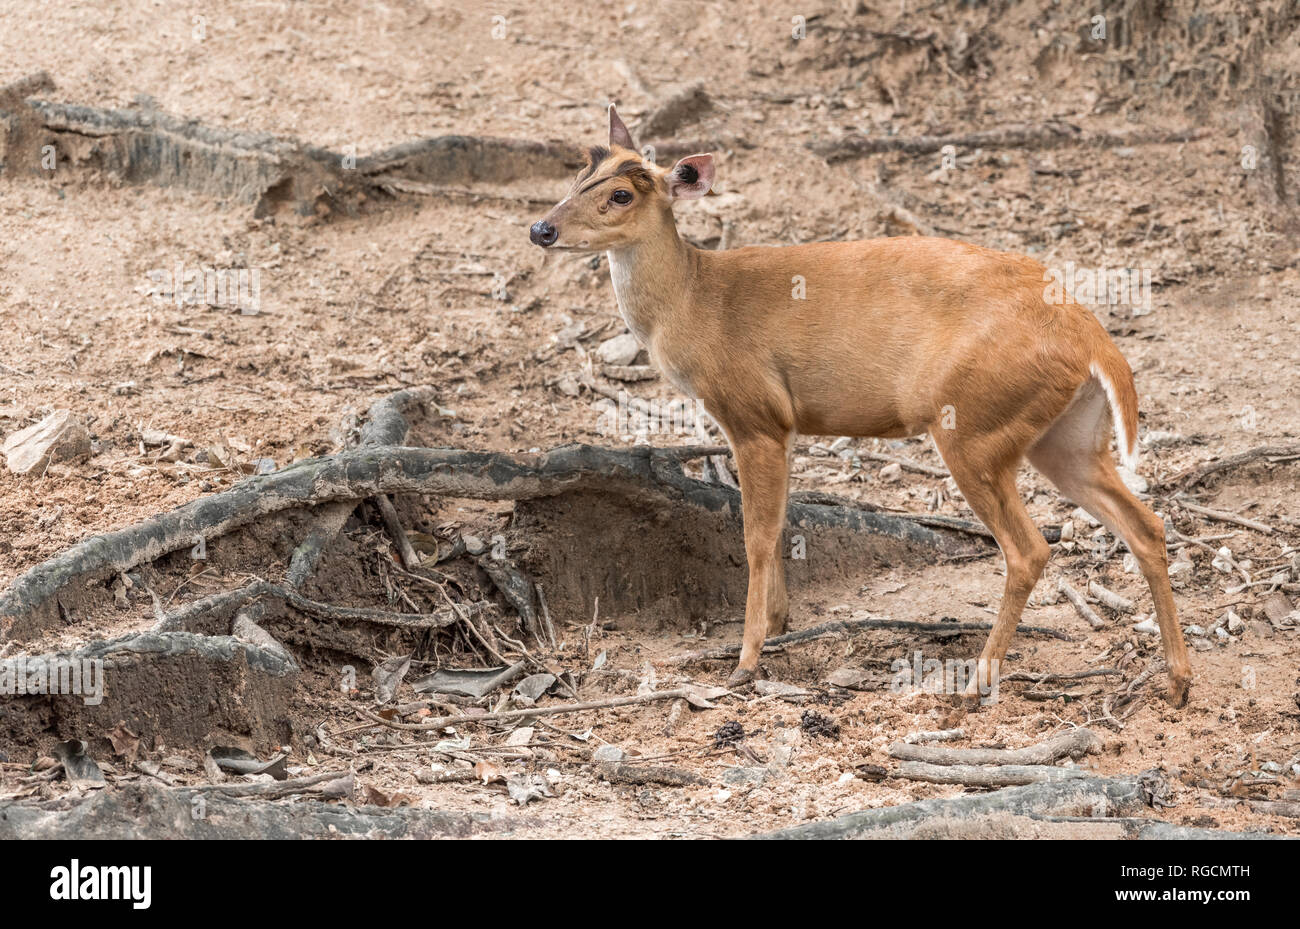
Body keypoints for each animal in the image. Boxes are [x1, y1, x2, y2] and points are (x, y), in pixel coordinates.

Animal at [529, 105, 1191, 707]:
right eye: (579, 173)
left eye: (620, 194)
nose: (541, 229)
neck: (695, 303)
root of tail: (1093, 339)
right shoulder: (785, 427)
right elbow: (783, 522)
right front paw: (779, 625)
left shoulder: (754, 414)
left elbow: (756, 535)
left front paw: (746, 661)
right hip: (1066, 436)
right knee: (1146, 524)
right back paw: (1179, 681)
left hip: (973, 426)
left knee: (1029, 549)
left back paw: (976, 682)